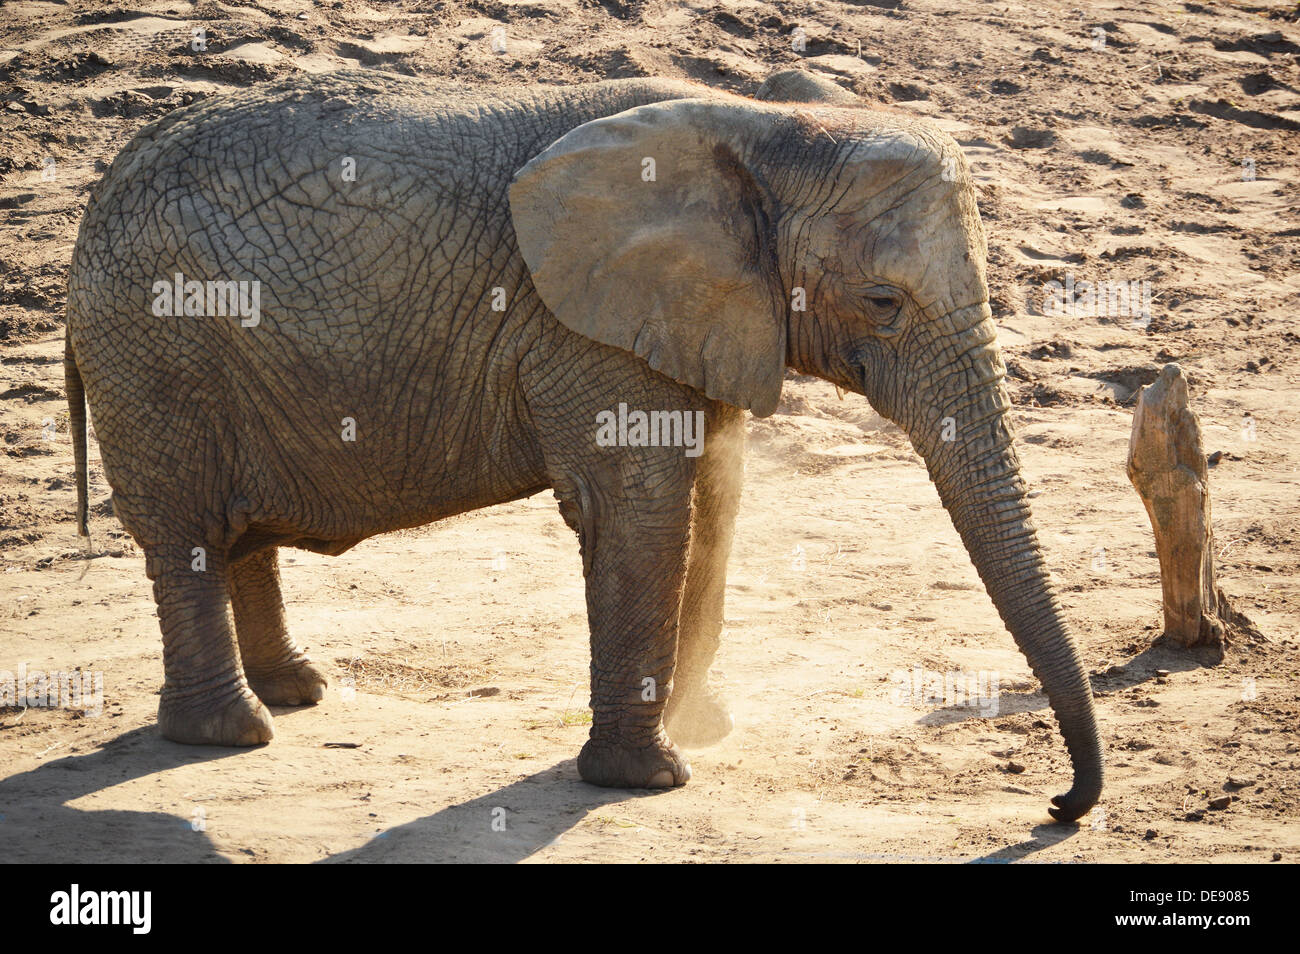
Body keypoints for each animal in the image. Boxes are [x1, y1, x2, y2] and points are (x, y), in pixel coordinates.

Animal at [64, 67, 1103, 822]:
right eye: (884, 303)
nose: (1058, 805)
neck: (764, 128)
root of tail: (94, 199)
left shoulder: (707, 312)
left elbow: (714, 498)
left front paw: (701, 728)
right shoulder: (584, 327)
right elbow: (640, 507)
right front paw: (649, 779)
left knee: (234, 529)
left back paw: (296, 692)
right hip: (153, 349)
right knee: (186, 530)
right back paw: (232, 732)